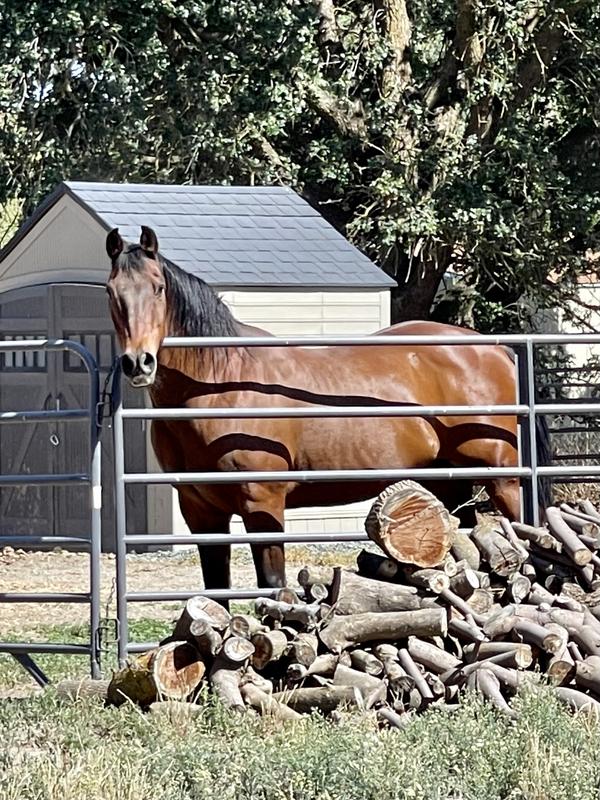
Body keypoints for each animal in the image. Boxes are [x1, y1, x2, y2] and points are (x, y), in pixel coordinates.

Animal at [105, 225, 546, 595]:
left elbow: (272, 583)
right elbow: (216, 591)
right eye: (111, 292)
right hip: (448, 482)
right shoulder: (201, 514)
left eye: (158, 287)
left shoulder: (263, 505)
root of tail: (493, 349)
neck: (220, 387)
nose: (138, 363)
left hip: (501, 477)